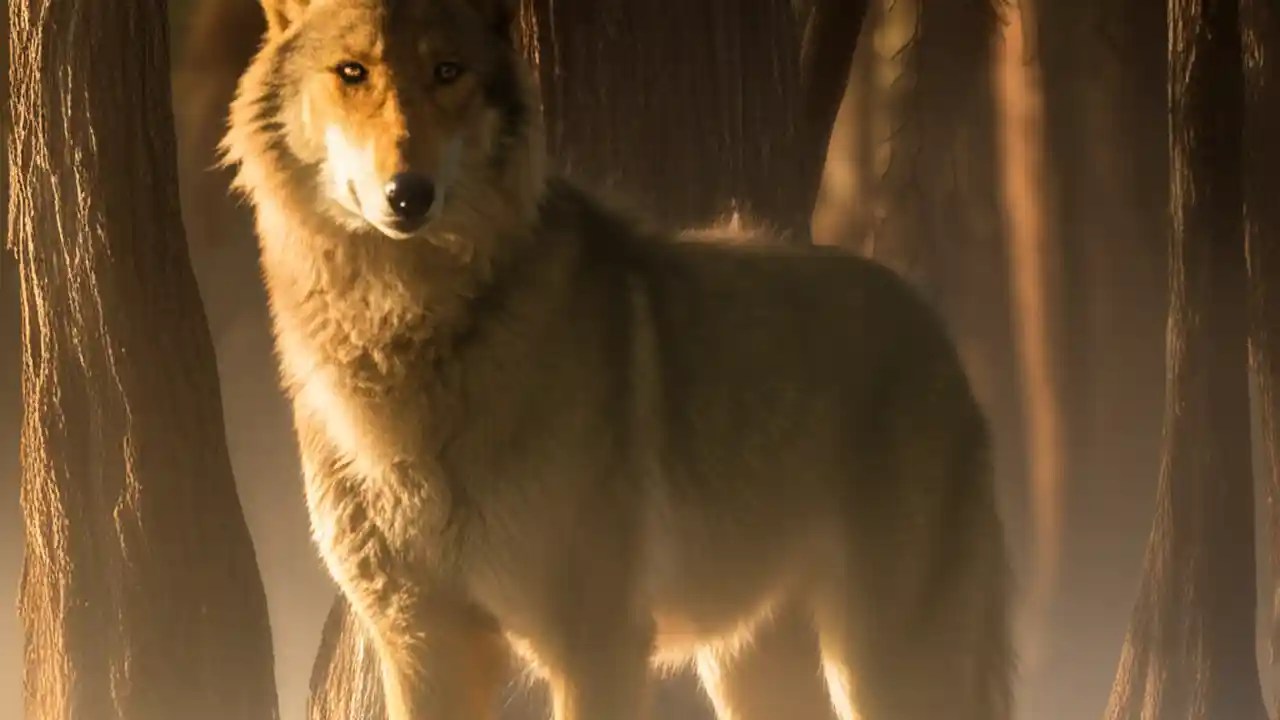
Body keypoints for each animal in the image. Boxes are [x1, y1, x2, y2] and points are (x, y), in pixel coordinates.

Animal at [222, 1, 1013, 718]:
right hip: (750, 666)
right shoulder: (422, 642)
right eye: (352, 72)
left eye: (447, 71)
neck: (407, 336)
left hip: (886, 666)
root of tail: (935, 324)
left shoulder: (592, 643)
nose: (408, 194)